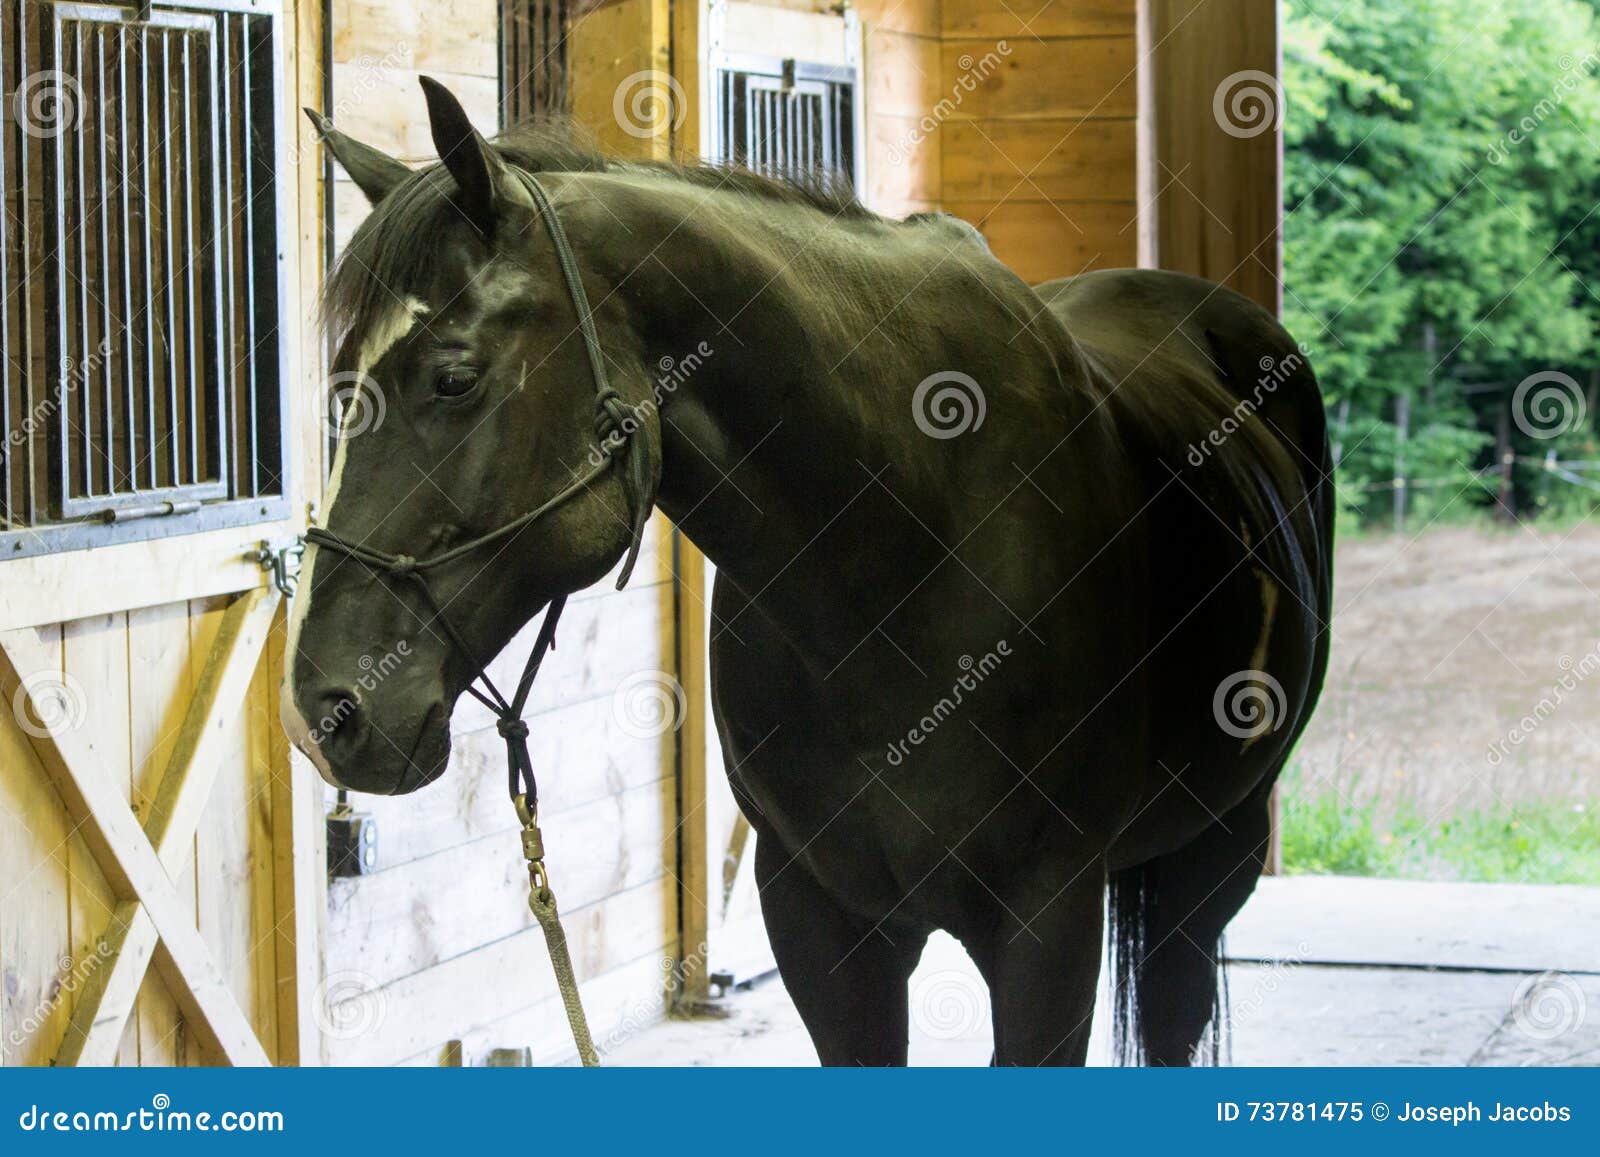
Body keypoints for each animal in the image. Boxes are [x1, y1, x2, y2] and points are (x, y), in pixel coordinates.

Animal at [282, 77, 1333, 1067]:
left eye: (454, 378)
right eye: (341, 389)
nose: (322, 711)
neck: (902, 551)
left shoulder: (1050, 924)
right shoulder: (820, 922)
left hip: (1216, 858)